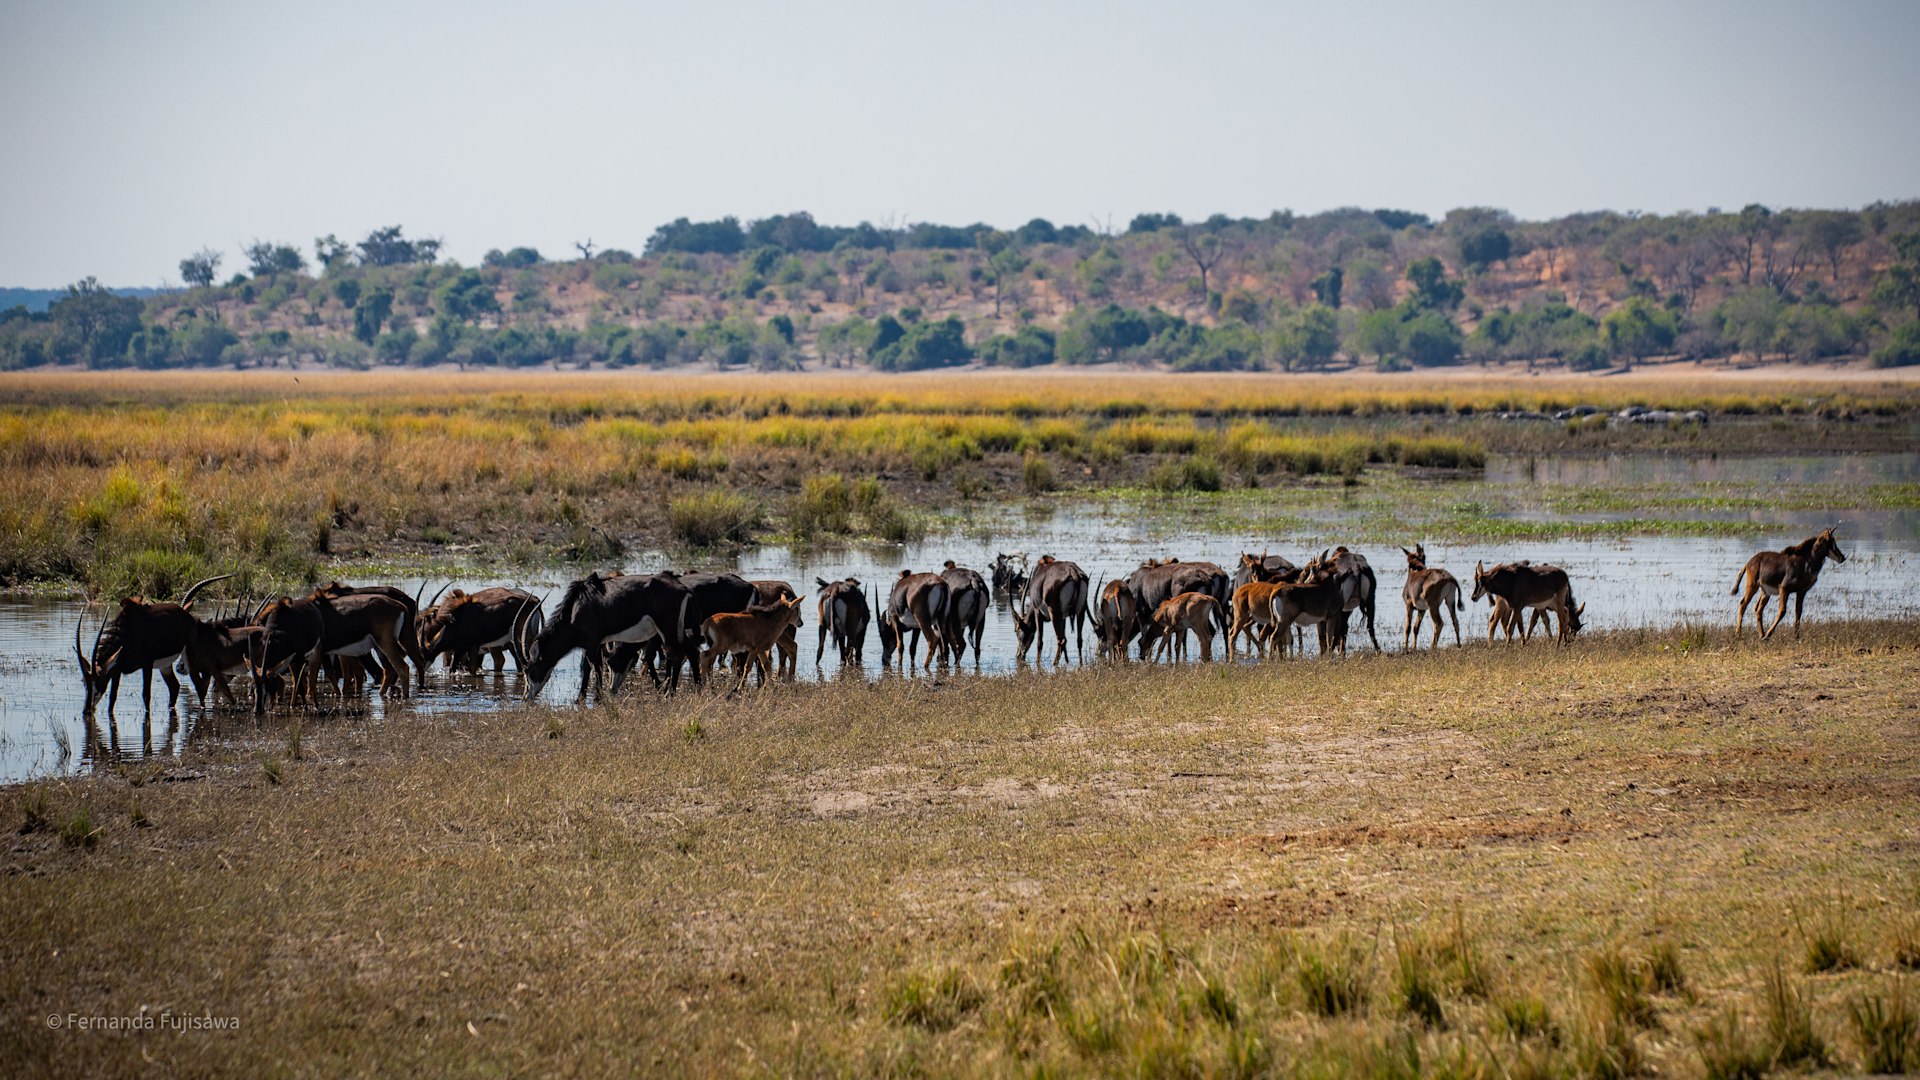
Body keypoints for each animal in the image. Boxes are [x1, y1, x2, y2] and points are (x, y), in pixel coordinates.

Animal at [74, 574, 232, 718]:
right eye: (84, 682)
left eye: (97, 683)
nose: (86, 710)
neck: (128, 633)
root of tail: (188, 616)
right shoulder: (116, 670)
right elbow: (112, 699)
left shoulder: (147, 664)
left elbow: (146, 695)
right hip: (165, 666)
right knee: (175, 687)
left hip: (189, 659)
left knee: (199, 686)